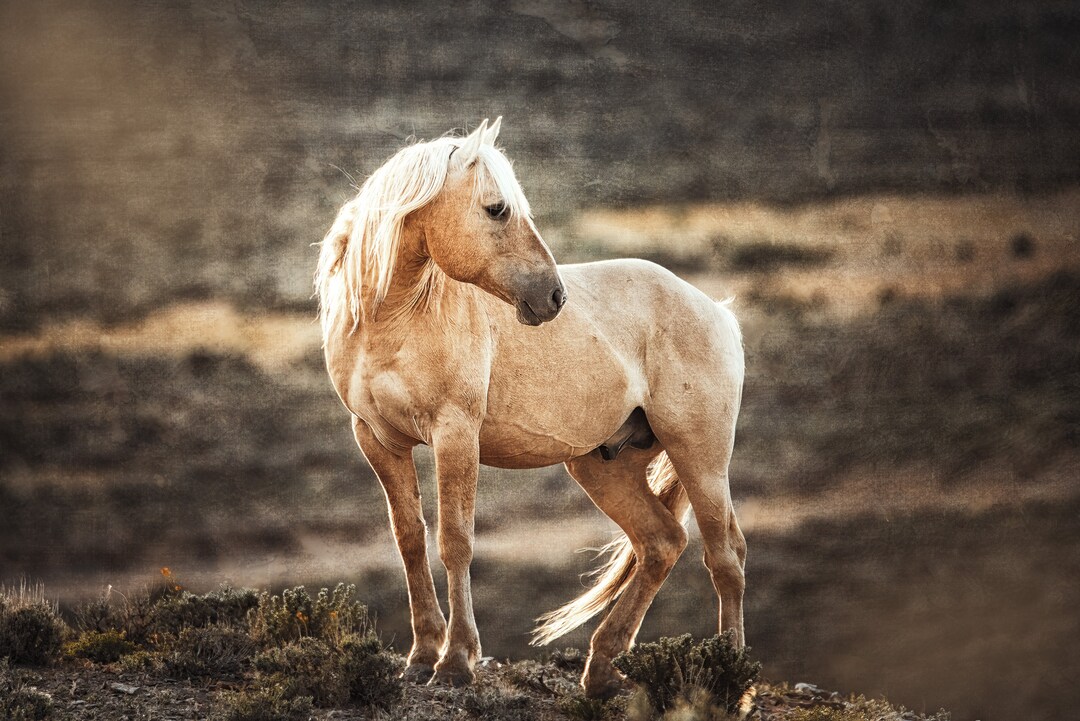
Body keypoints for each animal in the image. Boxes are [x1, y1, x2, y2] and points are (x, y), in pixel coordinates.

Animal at [315, 118, 746, 698]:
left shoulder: (455, 433)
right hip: (602, 465)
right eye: (497, 208)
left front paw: (456, 661)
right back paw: (602, 669)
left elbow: (455, 542)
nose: (555, 297)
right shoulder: (377, 439)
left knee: (724, 557)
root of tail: (715, 311)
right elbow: (410, 541)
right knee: (662, 543)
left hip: (700, 457)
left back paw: (730, 679)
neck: (394, 319)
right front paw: (421, 656)